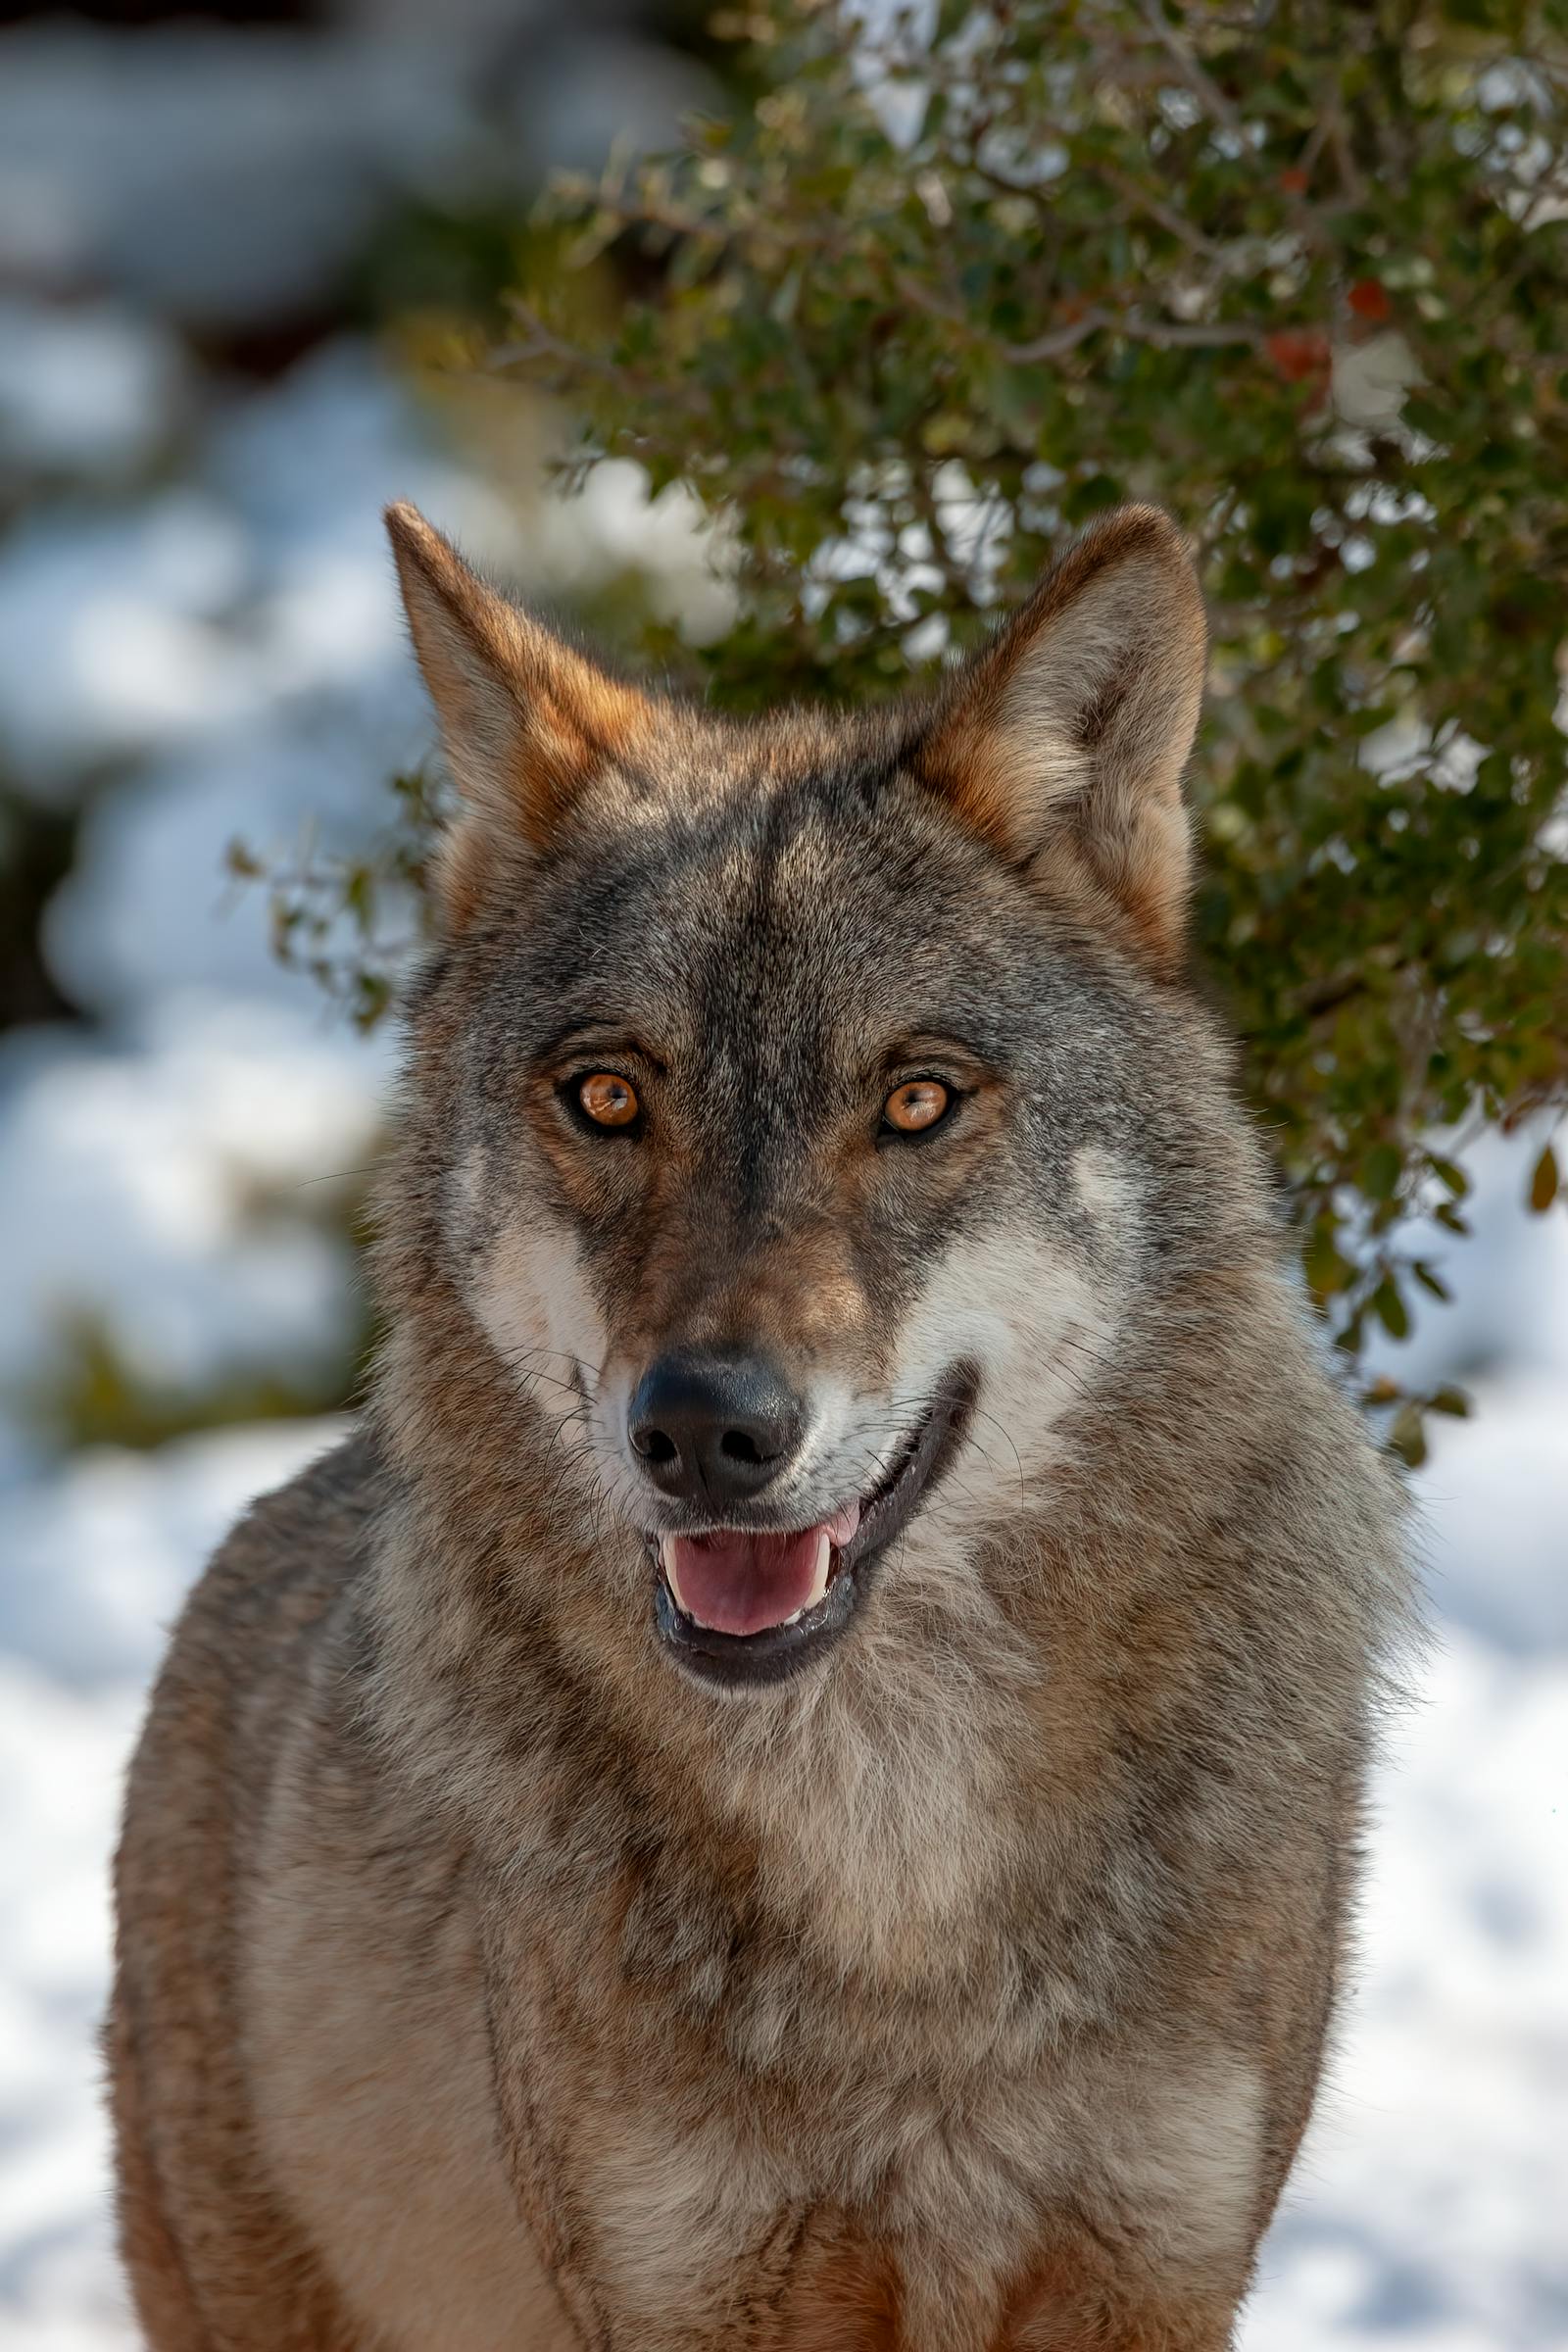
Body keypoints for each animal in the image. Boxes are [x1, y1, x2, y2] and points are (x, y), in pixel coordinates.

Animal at [109, 499, 1407, 2351]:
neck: (896, 1865)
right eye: (607, 1096)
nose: (705, 1429)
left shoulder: (1151, 2268)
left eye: (917, 1100)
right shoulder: (690, 2283)